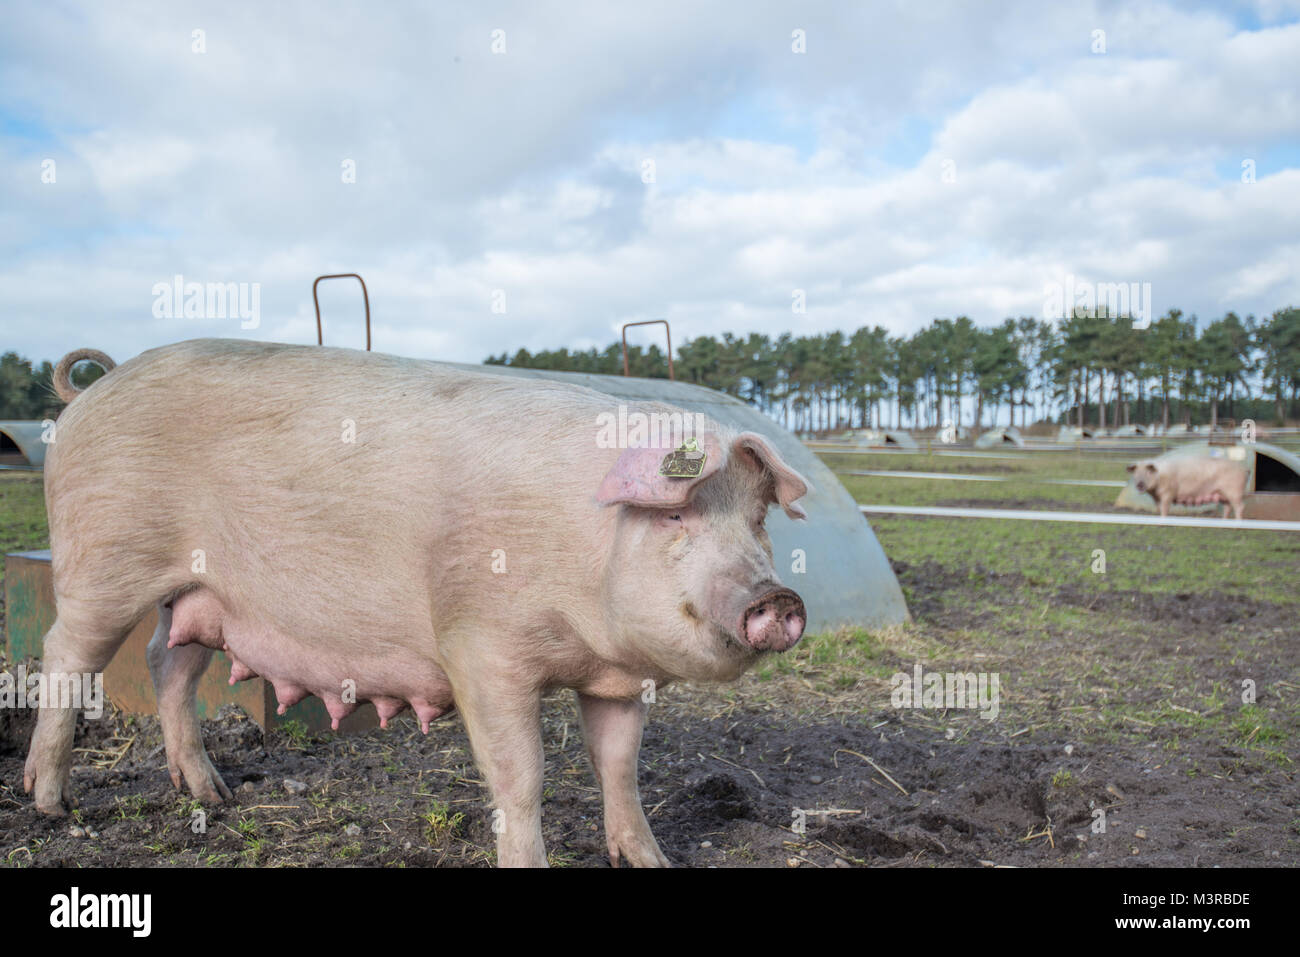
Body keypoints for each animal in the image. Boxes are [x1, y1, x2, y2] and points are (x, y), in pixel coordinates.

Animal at [24, 338, 810, 867]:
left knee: (168, 661)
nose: (778, 597)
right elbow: (521, 775)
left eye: (758, 520)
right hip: (103, 558)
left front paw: (651, 860)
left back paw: (212, 796)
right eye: (675, 516)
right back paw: (51, 803)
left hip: (199, 596)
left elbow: (619, 767)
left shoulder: (616, 679)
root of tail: (90, 389)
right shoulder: (481, 648)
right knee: (65, 654)